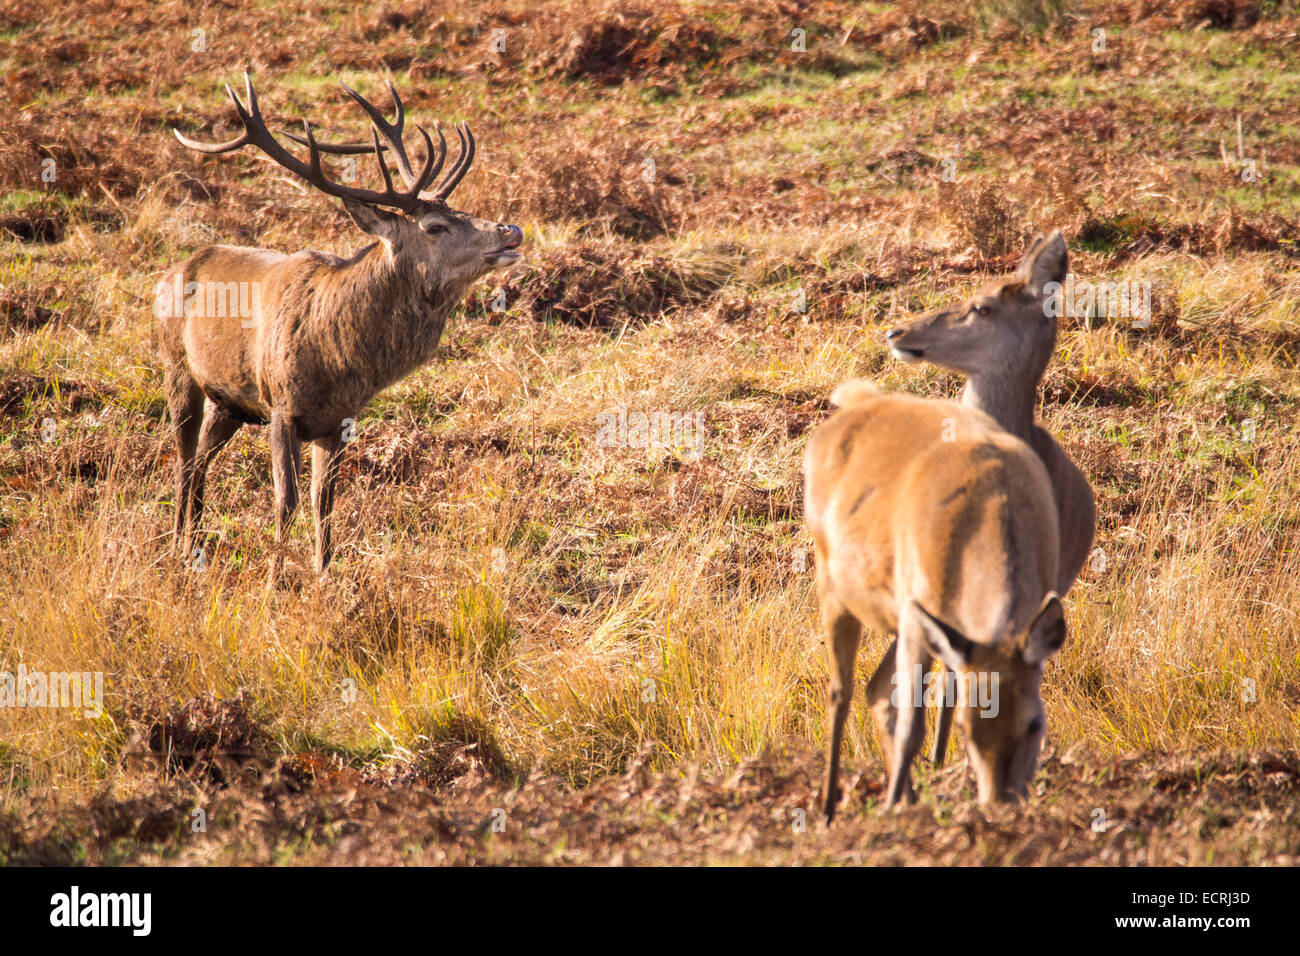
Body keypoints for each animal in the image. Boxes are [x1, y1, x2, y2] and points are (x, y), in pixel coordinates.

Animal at [159, 74, 523, 580]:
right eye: (434, 226)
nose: (510, 231)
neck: (340, 358)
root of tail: (174, 268)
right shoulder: (281, 406)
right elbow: (286, 500)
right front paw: (274, 580)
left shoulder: (338, 421)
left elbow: (324, 503)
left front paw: (323, 575)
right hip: (178, 368)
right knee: (183, 459)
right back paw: (177, 547)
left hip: (229, 401)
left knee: (200, 465)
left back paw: (192, 545)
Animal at [804, 381, 1067, 820]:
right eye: (964, 728)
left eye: (1035, 724)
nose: (1000, 803)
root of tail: (854, 401)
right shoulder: (917, 614)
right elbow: (913, 727)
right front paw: (887, 812)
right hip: (834, 582)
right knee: (841, 691)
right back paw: (826, 808)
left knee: (877, 690)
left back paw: (906, 798)